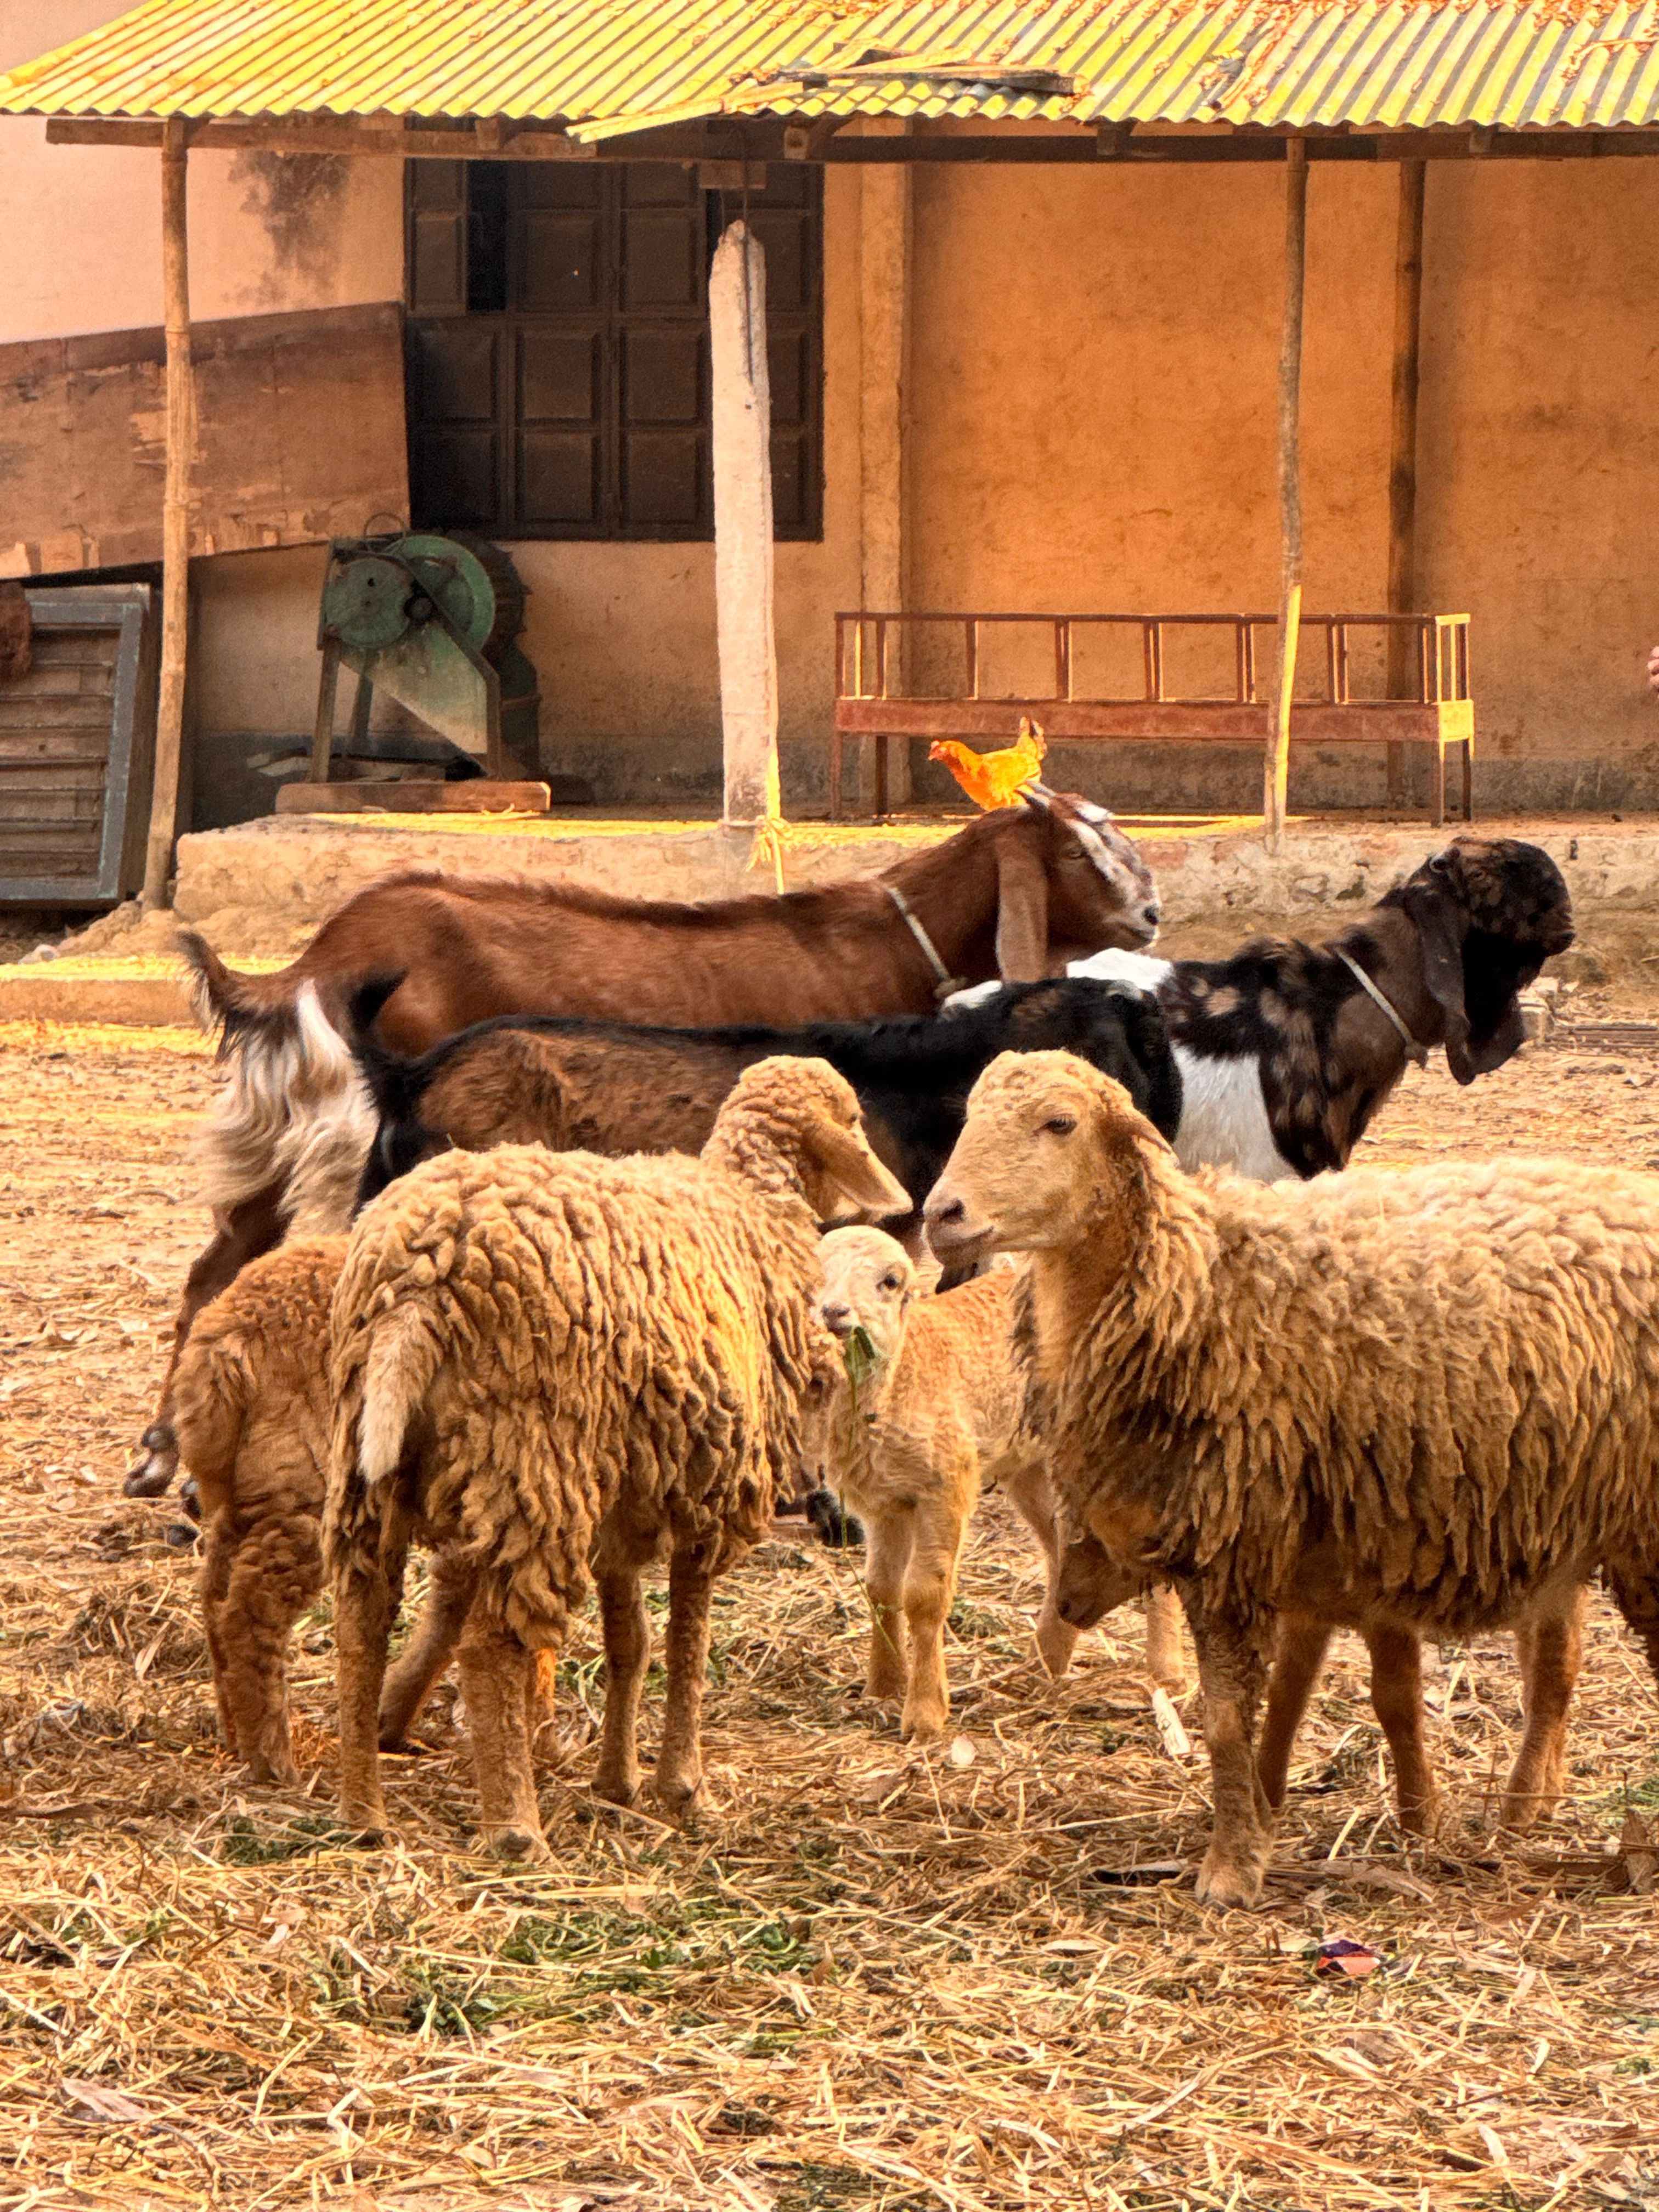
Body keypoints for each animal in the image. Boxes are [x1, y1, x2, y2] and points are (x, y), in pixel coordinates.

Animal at [325, 1057, 910, 1858]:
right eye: (852, 1119)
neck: (748, 1206)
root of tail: (422, 1283)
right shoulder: (712, 1492)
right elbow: (688, 1637)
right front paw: (681, 1785)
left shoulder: (626, 1507)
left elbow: (630, 1640)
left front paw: (617, 1781)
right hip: (537, 1462)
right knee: (490, 1646)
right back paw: (515, 1829)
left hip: (386, 1464)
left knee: (361, 1621)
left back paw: (363, 1812)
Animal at [925, 1051, 1659, 1907]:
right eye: (971, 1113)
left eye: (1059, 1123)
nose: (942, 1215)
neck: (1197, 1285)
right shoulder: (1300, 1548)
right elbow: (1285, 1700)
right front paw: (1264, 1819)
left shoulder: (1234, 1546)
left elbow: (1227, 1719)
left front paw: (1229, 1868)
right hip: (1562, 1510)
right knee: (1556, 1654)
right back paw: (1526, 1806)